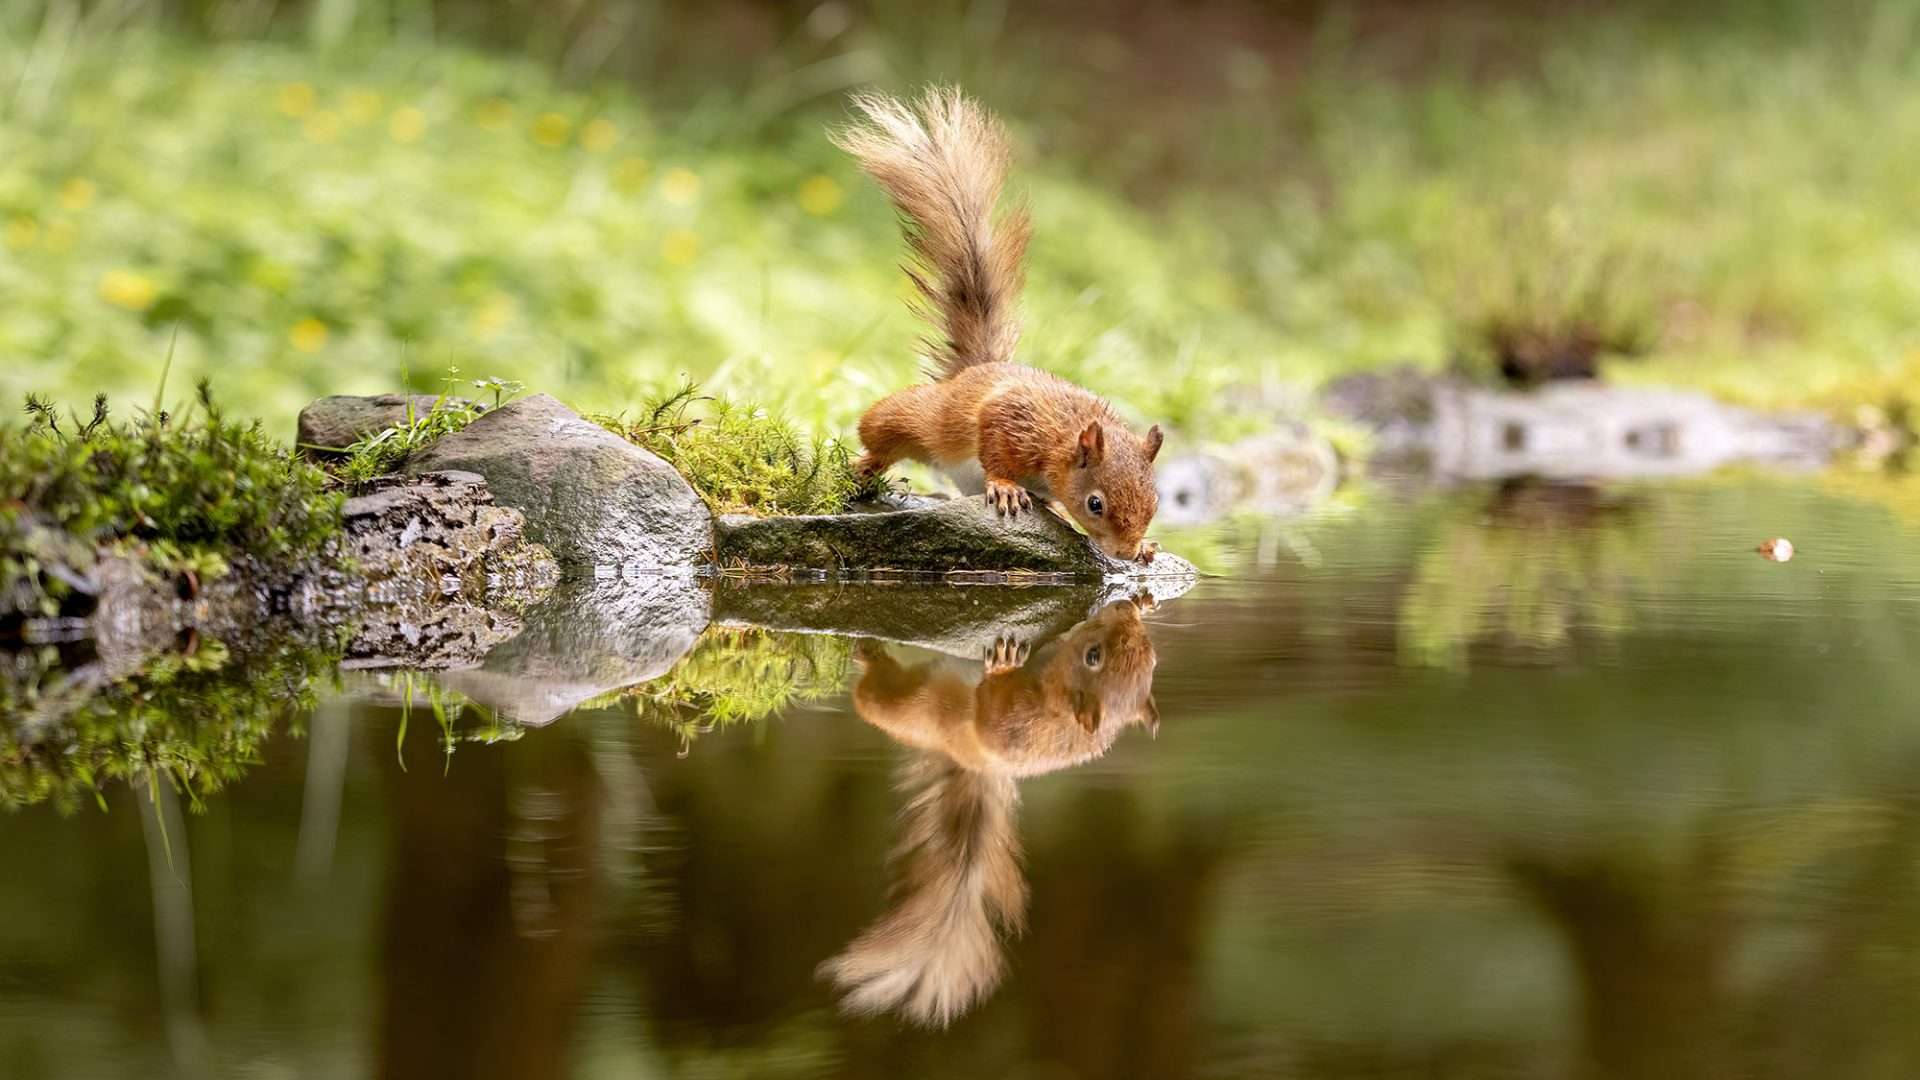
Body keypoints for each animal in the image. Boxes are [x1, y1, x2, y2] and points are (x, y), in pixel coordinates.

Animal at [818, 597, 1161, 1026]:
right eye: (1153, 659)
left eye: (1092, 656)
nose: (1124, 606)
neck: (1056, 703)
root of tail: (964, 759)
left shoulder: (1015, 729)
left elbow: (991, 717)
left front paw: (1002, 664)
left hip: (913, 710)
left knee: (874, 699)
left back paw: (869, 659)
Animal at [833, 89, 1165, 563]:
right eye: (1095, 504)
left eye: (1155, 502)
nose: (1123, 552)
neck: (1063, 441)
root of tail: (973, 370)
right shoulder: (1014, 421)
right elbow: (995, 447)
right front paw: (1007, 487)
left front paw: (1147, 548)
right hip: (926, 420)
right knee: (884, 430)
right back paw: (866, 463)